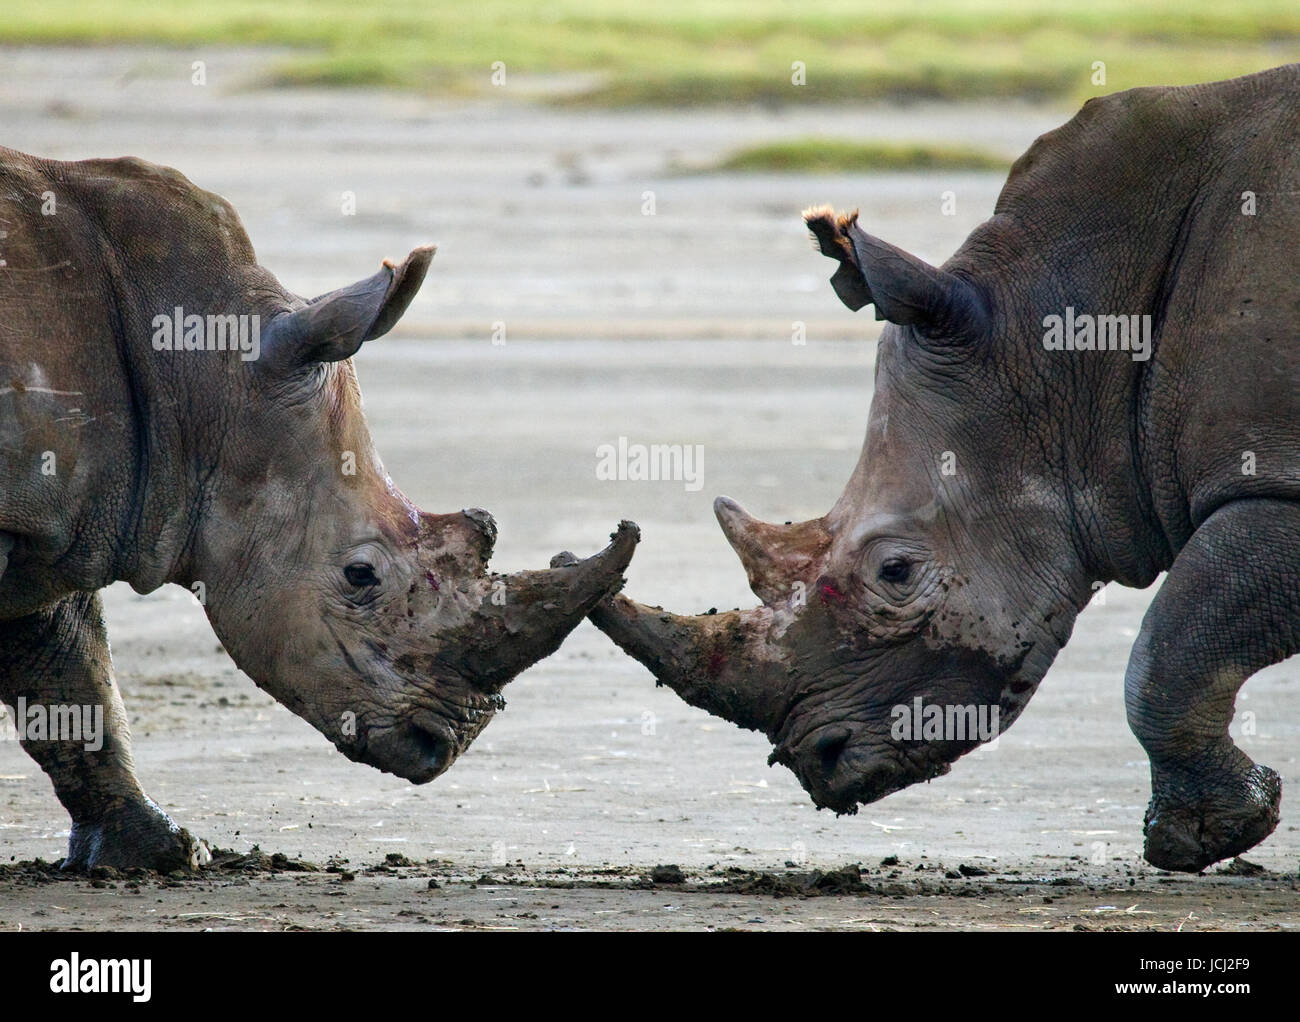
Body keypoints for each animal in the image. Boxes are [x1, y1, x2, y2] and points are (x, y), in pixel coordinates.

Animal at [0, 147, 638, 872]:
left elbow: (71, 672)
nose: (448, 742)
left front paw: (160, 853)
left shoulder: (54, 518)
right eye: (360, 576)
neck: (199, 377)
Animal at [590, 65, 1299, 872]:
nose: (816, 760)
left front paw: (1200, 839)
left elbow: (1170, 651)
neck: (1066, 335)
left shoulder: (1274, 482)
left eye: (895, 573)